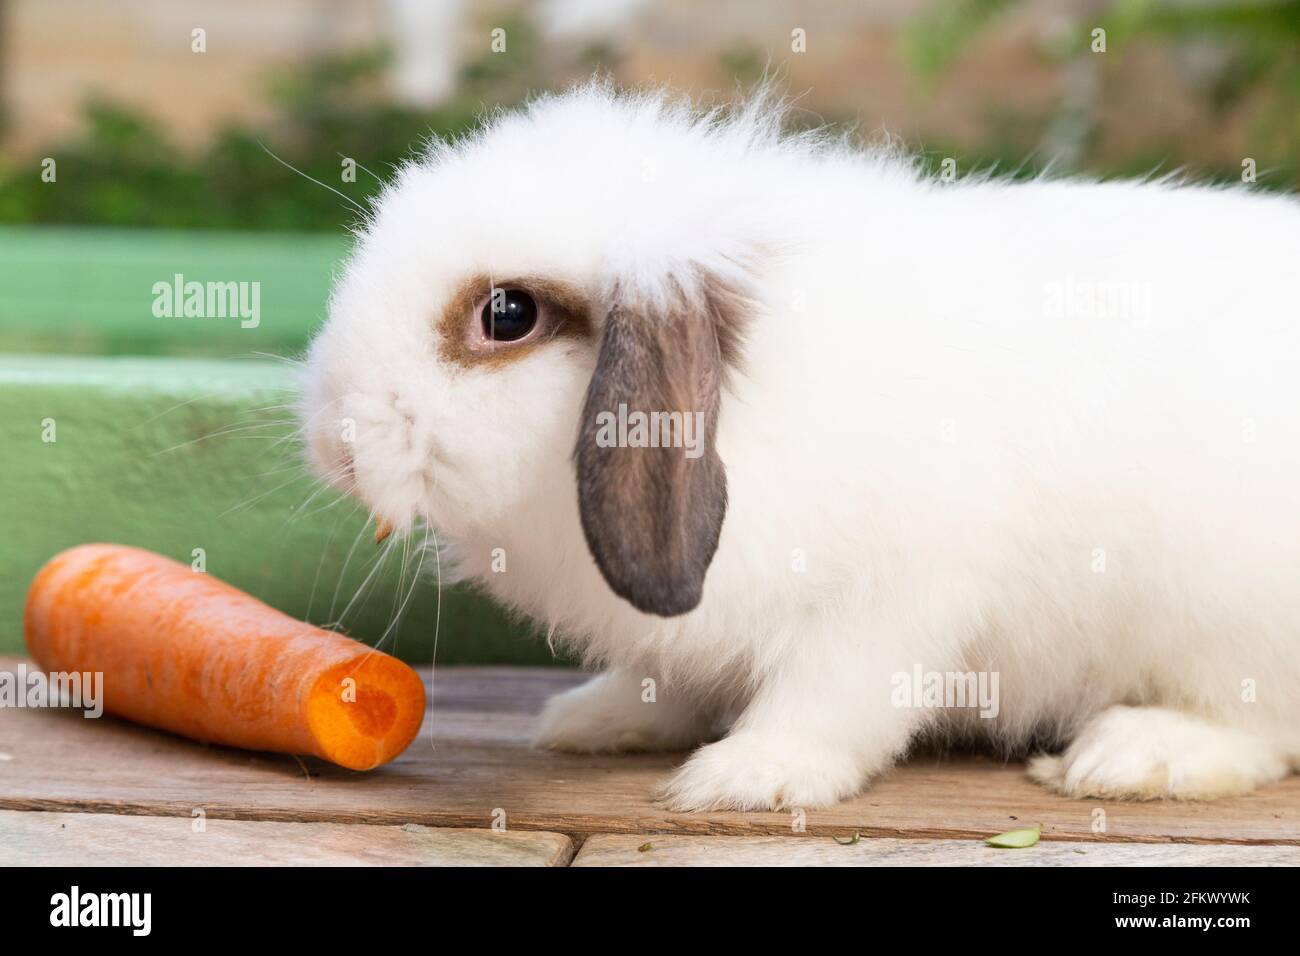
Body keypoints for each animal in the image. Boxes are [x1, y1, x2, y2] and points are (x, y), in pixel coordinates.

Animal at [301, 81, 1300, 810]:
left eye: (507, 314)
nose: (334, 443)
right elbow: (676, 678)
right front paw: (596, 718)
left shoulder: (893, 602)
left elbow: (832, 699)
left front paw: (746, 778)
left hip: (1233, 625)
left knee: (1260, 731)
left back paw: (1133, 757)